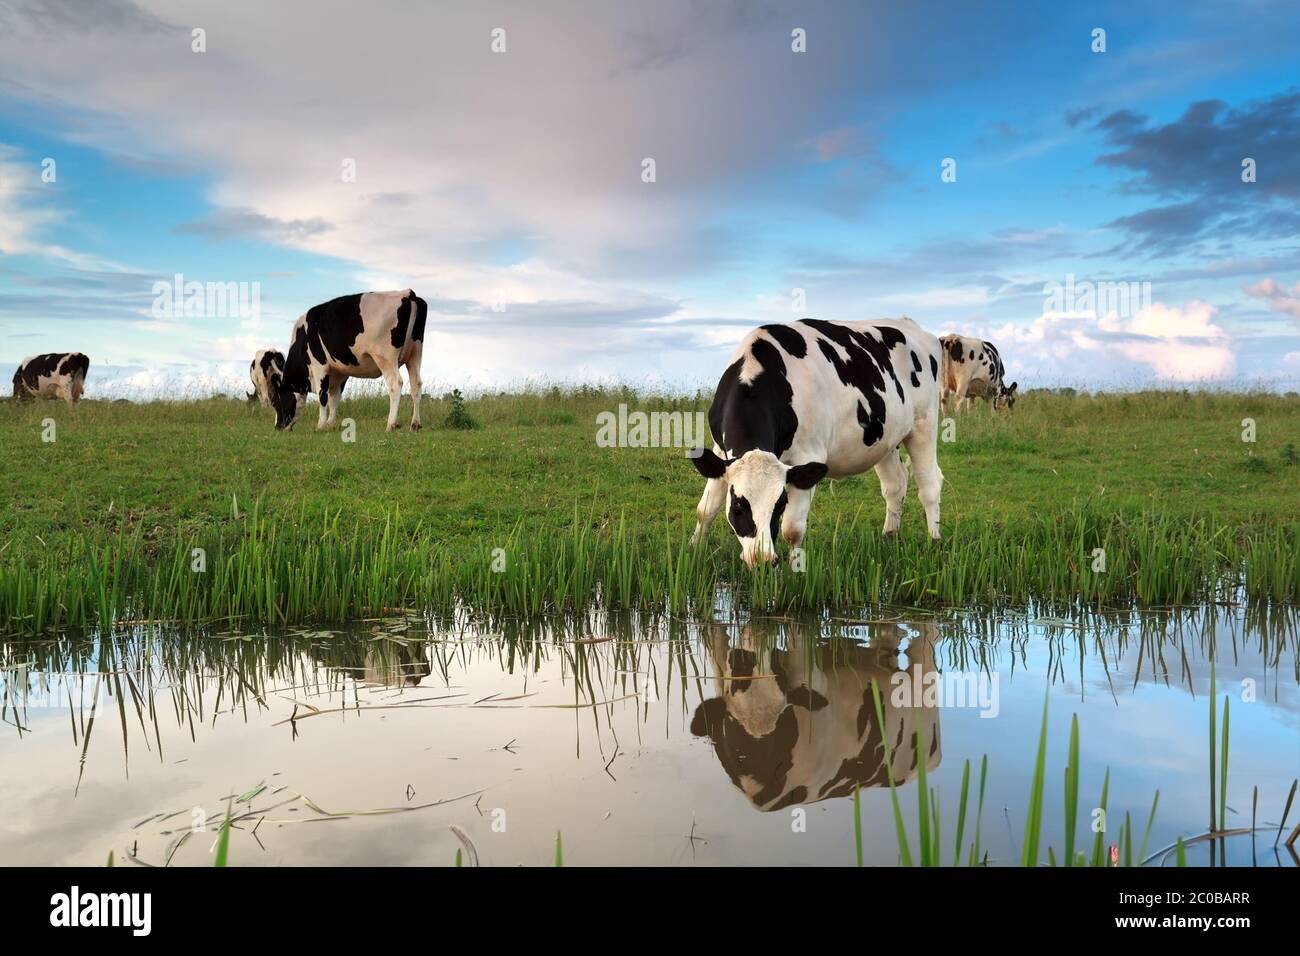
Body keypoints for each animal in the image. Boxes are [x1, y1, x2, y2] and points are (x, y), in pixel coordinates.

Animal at [271, 289, 427, 431]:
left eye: (277, 402)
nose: (277, 426)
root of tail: (406, 293)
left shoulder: (319, 366)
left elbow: (323, 397)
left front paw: (320, 426)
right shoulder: (339, 372)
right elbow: (335, 398)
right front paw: (330, 424)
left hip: (385, 357)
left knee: (395, 384)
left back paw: (391, 424)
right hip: (415, 353)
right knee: (416, 384)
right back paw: (415, 424)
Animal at [689, 317, 944, 567]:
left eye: (780, 504)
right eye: (738, 506)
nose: (763, 560)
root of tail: (910, 324)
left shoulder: (808, 456)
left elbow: (792, 529)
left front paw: (794, 570)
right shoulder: (720, 452)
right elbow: (705, 510)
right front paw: (695, 553)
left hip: (924, 423)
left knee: (930, 484)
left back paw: (934, 541)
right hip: (885, 439)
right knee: (895, 484)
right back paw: (888, 537)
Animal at [691, 619, 941, 812]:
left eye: (779, 677)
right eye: (730, 722)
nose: (755, 638)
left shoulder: (808, 672)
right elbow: (715, 645)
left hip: (924, 687)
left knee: (927, 644)